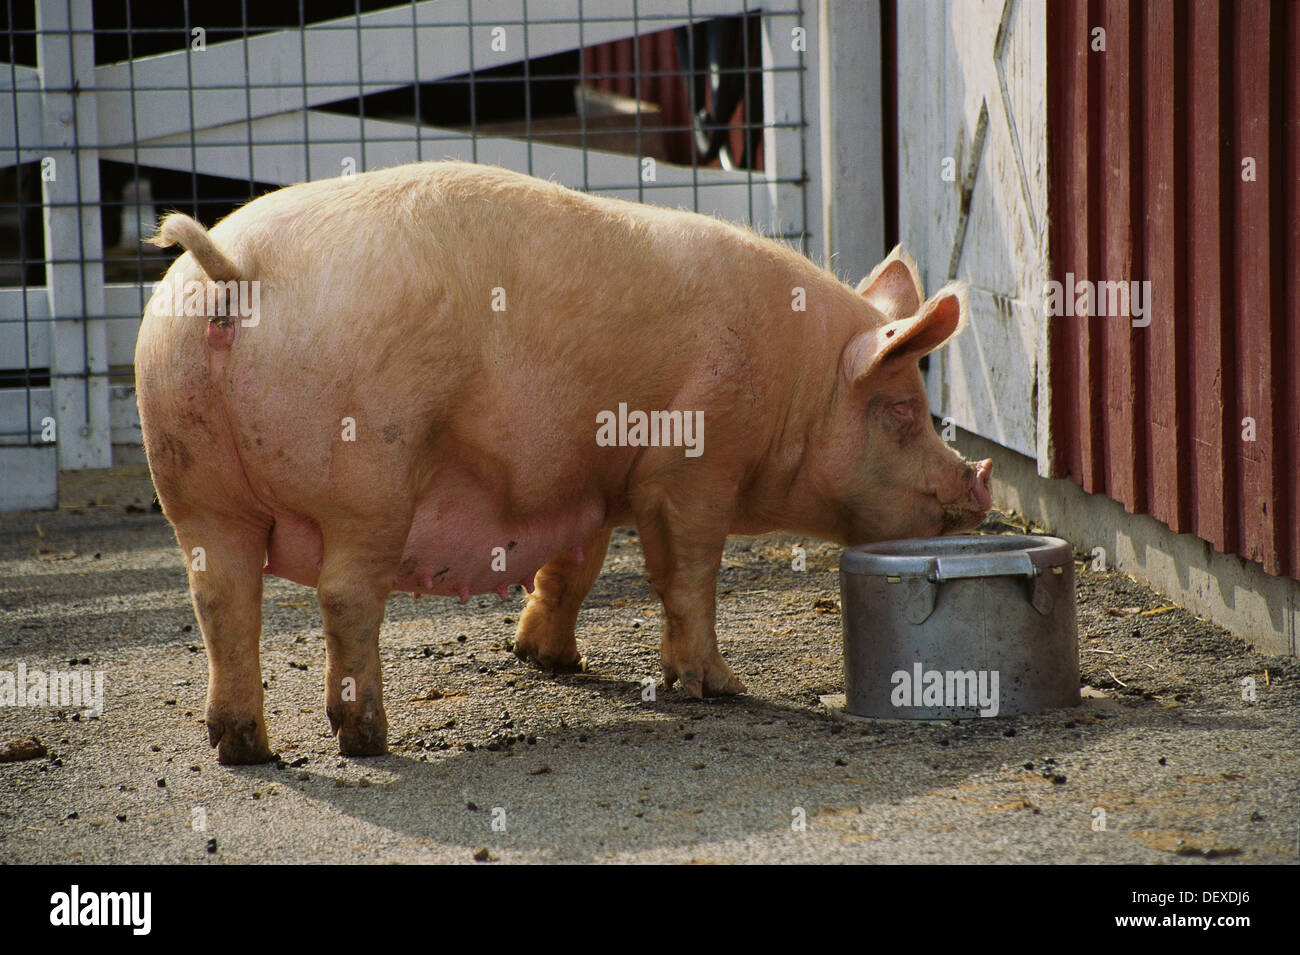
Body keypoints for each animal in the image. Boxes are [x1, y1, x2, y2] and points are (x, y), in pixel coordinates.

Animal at [135, 161, 992, 764]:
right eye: (903, 412)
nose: (977, 485)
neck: (799, 385)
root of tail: (234, 268)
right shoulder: (690, 465)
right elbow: (688, 575)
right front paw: (718, 688)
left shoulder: (591, 483)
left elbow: (570, 570)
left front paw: (549, 659)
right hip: (367, 479)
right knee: (345, 596)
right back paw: (367, 738)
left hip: (191, 483)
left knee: (221, 599)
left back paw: (244, 748)